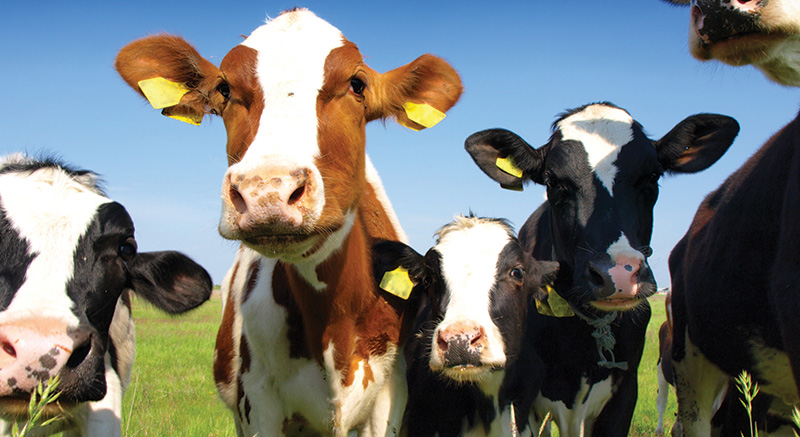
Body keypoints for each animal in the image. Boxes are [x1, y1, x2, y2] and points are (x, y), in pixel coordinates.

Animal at [114, 8, 463, 436]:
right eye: (224, 89)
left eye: (357, 84)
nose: (267, 191)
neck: (335, 323)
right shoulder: (257, 402)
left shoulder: (388, 400)